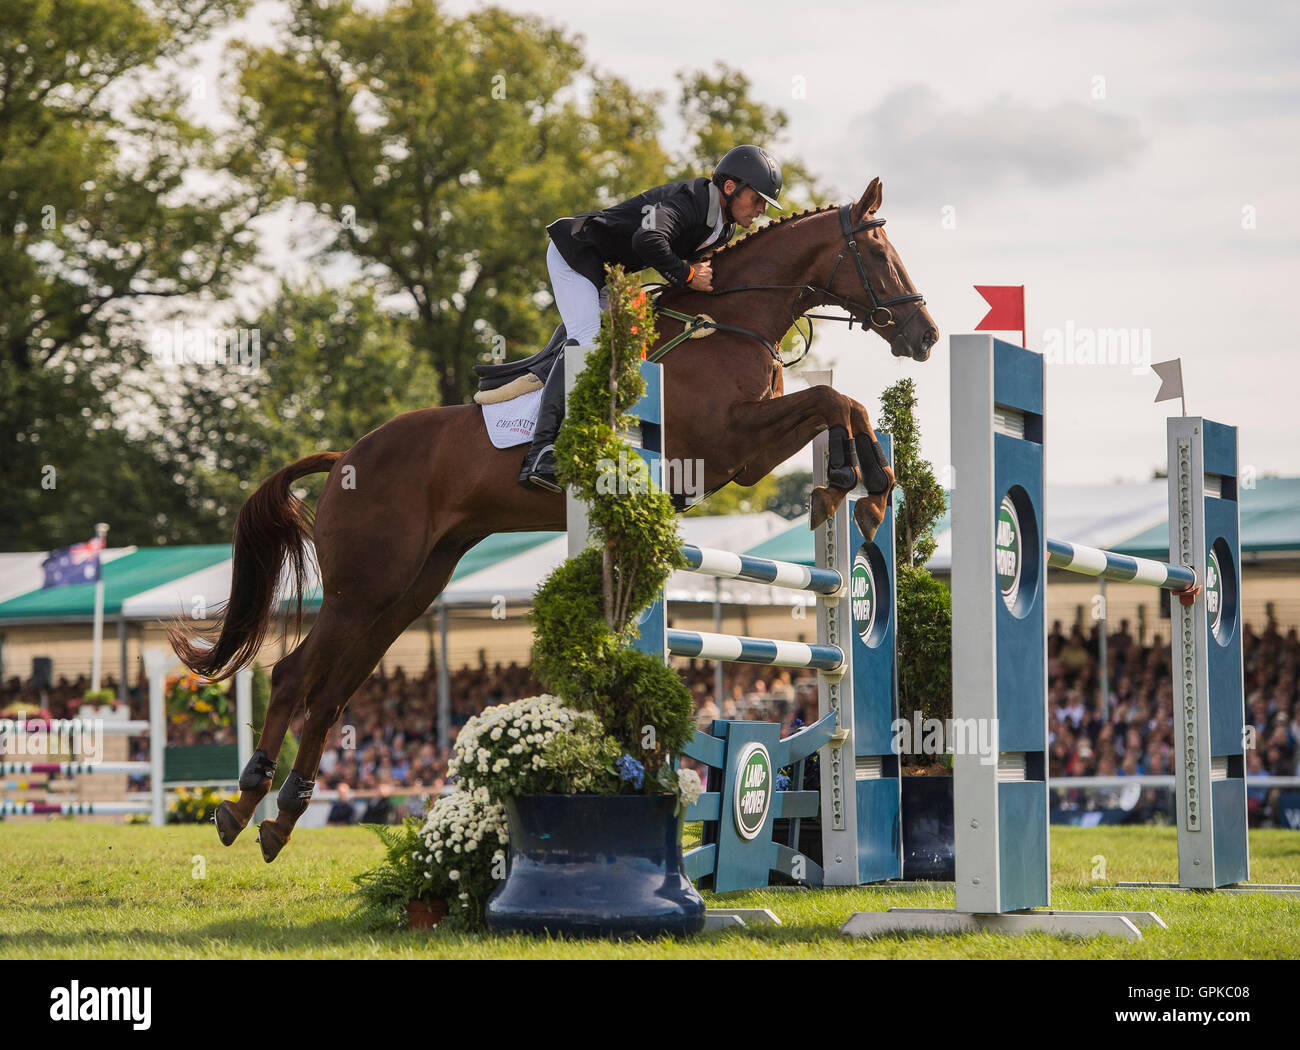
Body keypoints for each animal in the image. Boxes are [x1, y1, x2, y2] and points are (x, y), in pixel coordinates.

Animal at [169, 176, 939, 861]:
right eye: (878, 254)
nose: (925, 335)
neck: (731, 323)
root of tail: (347, 456)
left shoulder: (744, 453)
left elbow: (841, 405)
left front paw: (852, 487)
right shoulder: (731, 446)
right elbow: (836, 402)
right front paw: (867, 490)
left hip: (407, 591)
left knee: (332, 693)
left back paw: (282, 817)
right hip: (365, 585)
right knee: (294, 677)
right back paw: (242, 806)